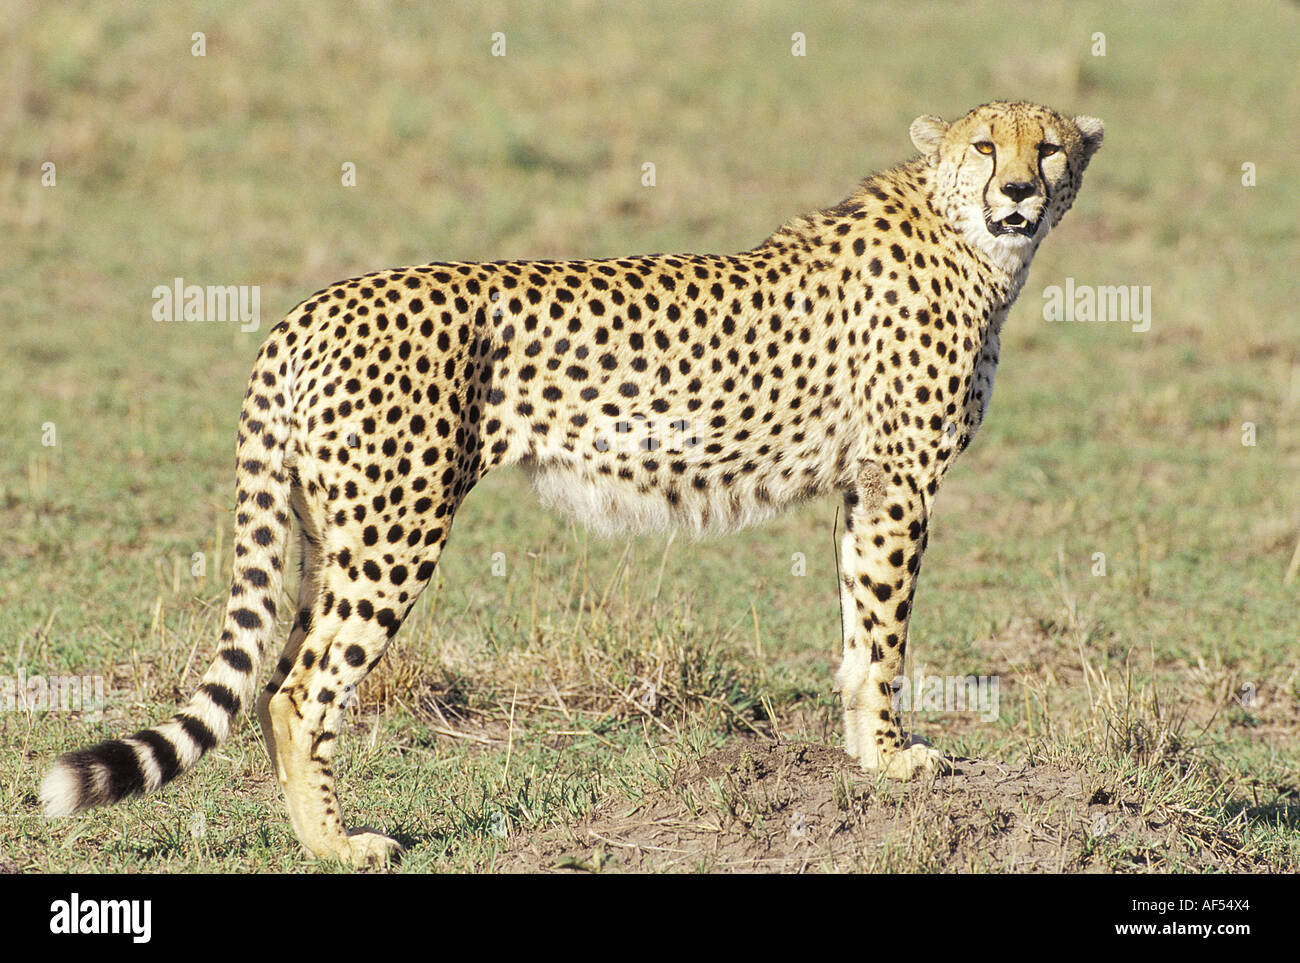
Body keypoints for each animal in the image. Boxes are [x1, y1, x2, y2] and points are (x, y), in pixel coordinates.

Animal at [42, 101, 1103, 866]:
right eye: (985, 144)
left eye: (1048, 147)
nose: (1018, 189)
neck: (972, 243)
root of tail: (314, 303)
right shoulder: (898, 483)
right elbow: (883, 635)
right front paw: (893, 757)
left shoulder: (862, 487)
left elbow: (854, 627)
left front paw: (862, 753)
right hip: (394, 526)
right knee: (305, 688)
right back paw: (342, 846)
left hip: (324, 527)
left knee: (272, 680)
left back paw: (313, 835)